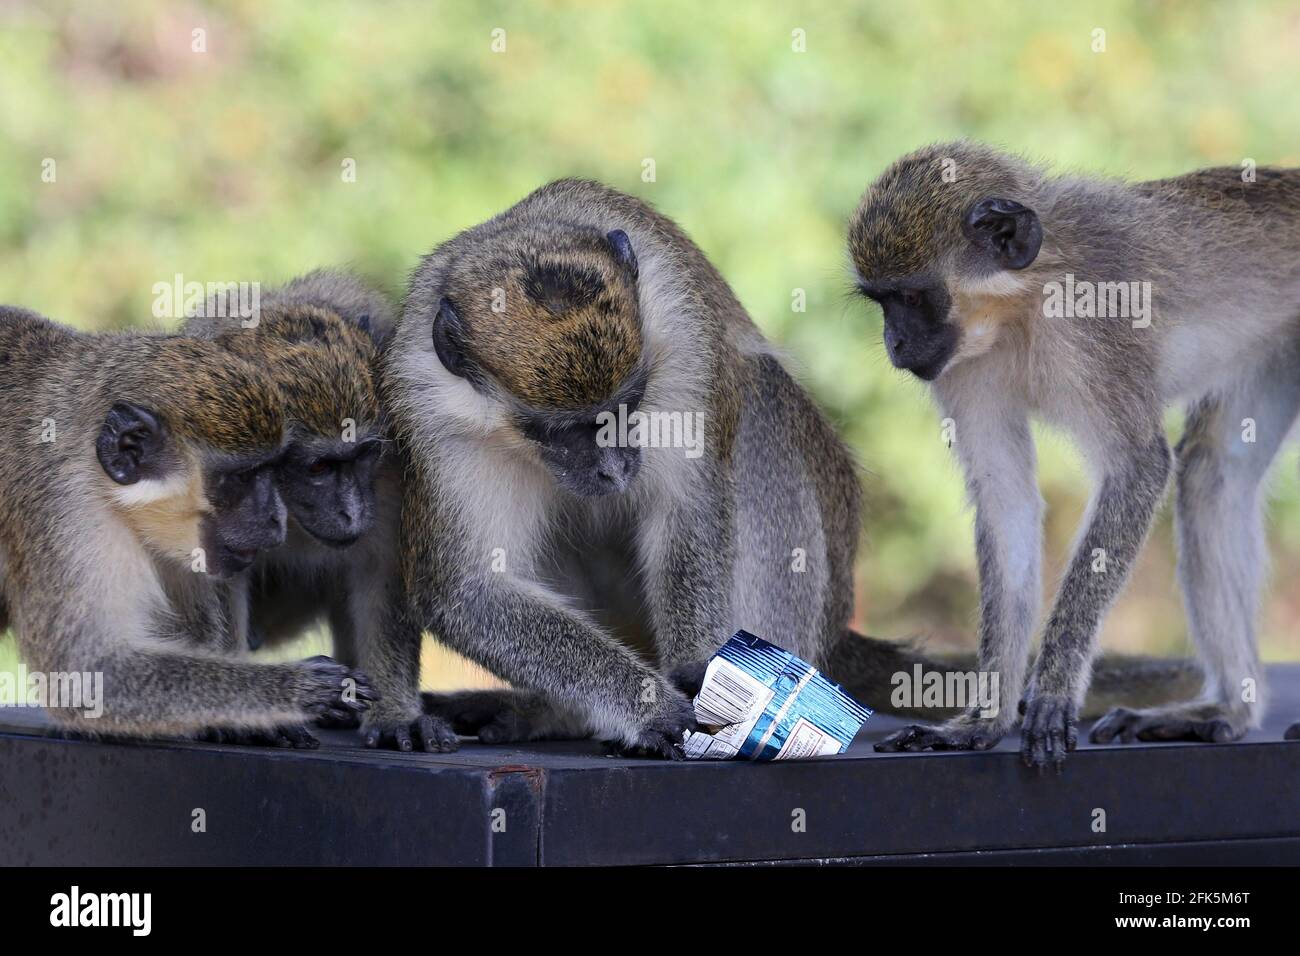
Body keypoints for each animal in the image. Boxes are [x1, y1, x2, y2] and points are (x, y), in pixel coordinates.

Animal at [0, 305, 375, 738]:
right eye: (243, 477)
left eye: (272, 468)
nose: (275, 521)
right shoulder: (65, 513)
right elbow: (86, 677)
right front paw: (299, 689)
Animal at [183, 271, 458, 752]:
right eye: (318, 467)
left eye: (363, 455)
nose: (353, 514)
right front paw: (240, 710)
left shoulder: (392, 471)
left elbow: (383, 570)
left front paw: (397, 714)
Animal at [381, 178, 1197, 758]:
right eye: (563, 431)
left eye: (631, 402)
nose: (614, 467)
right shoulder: (428, 408)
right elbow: (468, 589)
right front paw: (649, 707)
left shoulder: (681, 341)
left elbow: (691, 510)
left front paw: (697, 687)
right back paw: (555, 711)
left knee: (762, 404)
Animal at [847, 141, 1300, 767]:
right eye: (882, 302)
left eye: (913, 297)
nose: (895, 343)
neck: (1022, 304)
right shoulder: (965, 366)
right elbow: (1006, 497)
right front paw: (983, 719)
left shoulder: (1091, 327)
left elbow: (1139, 465)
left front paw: (1054, 690)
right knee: (1215, 473)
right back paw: (1228, 710)